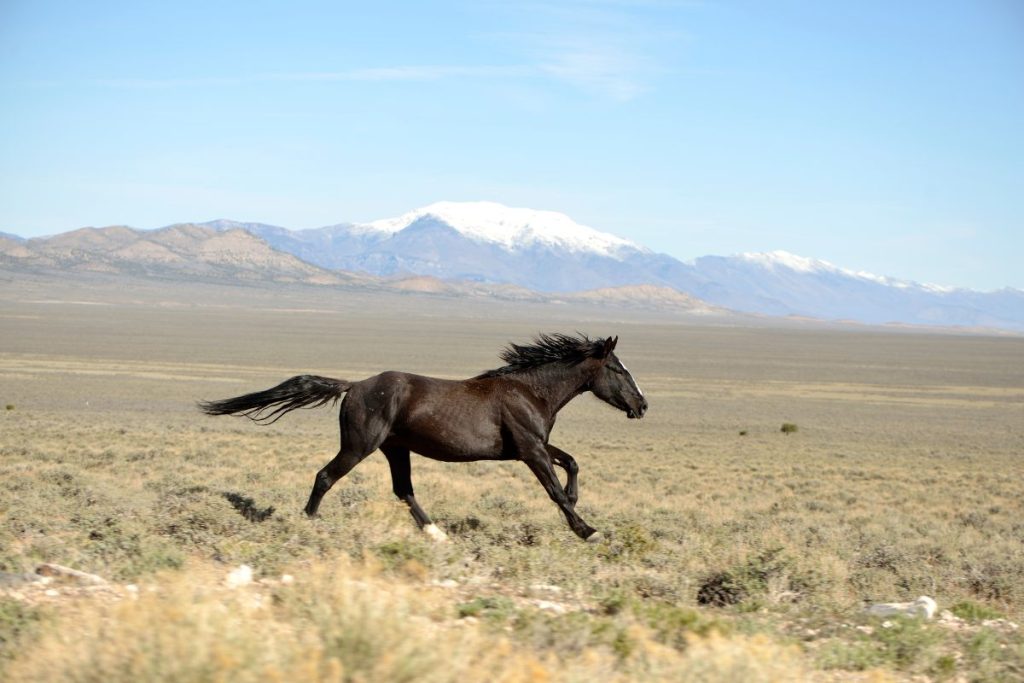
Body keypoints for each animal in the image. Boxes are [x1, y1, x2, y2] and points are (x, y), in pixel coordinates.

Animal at [198, 333, 647, 542]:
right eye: (618, 370)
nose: (642, 406)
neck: (529, 390)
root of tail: (354, 386)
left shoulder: (530, 446)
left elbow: (571, 462)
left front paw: (577, 503)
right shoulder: (529, 450)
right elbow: (554, 489)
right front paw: (587, 530)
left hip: (395, 449)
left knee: (404, 490)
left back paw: (436, 533)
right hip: (360, 445)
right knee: (326, 476)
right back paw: (308, 523)